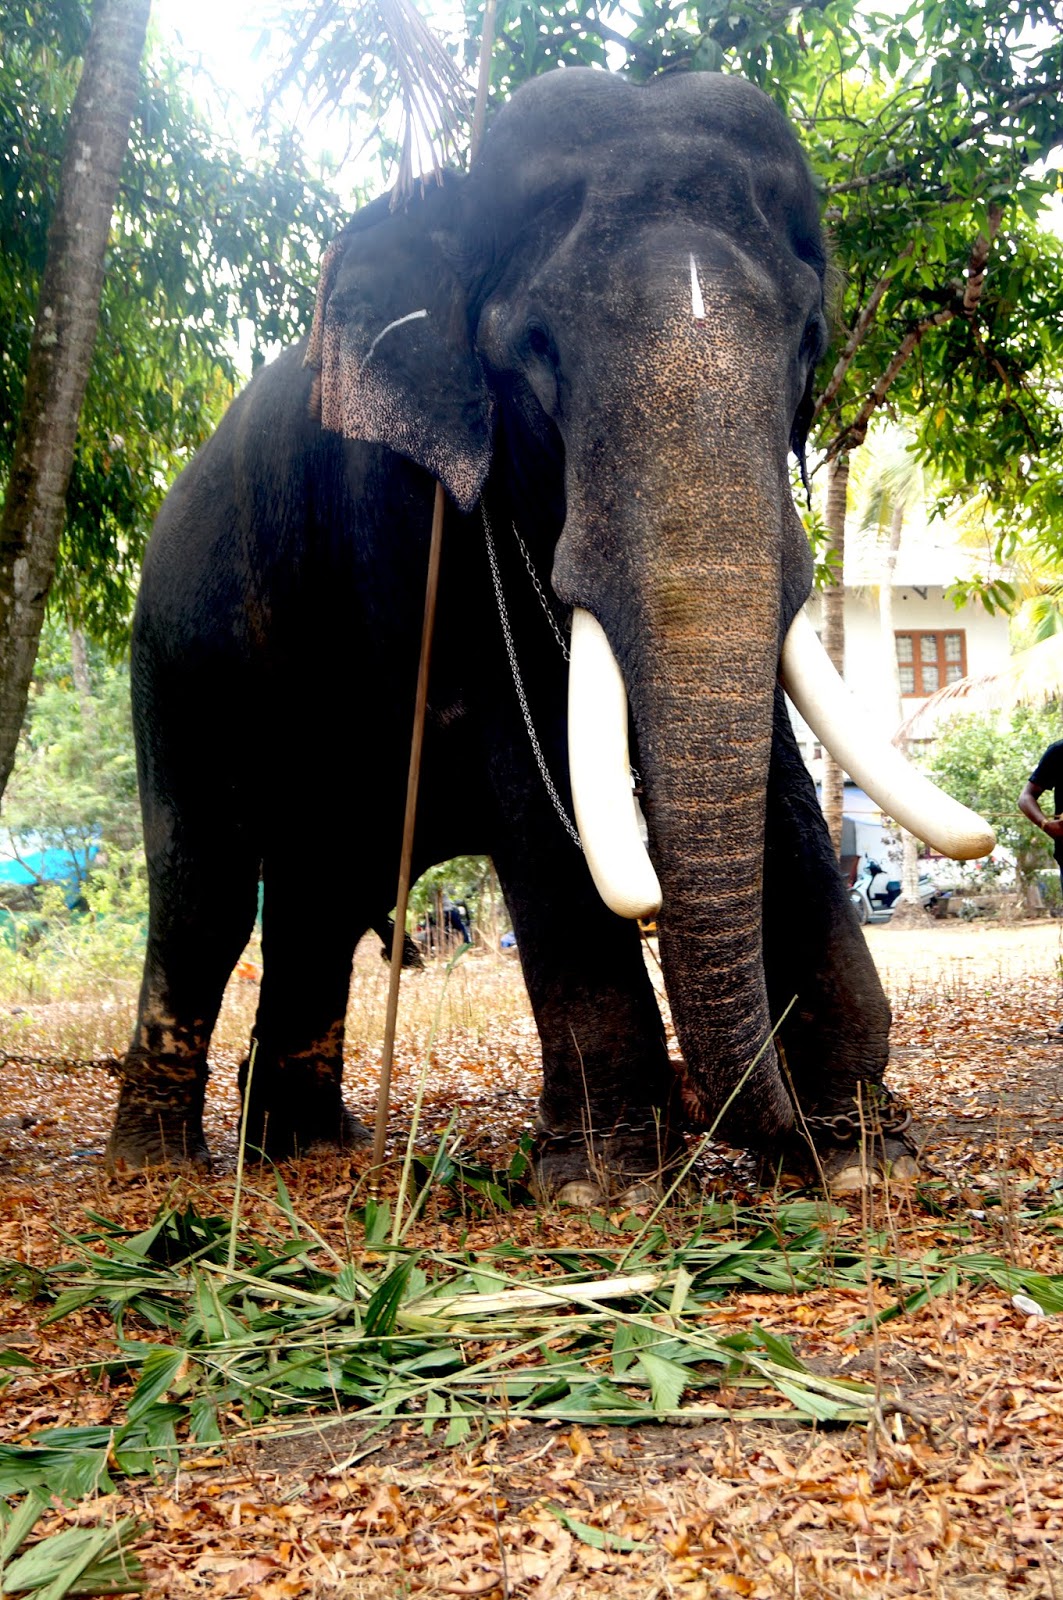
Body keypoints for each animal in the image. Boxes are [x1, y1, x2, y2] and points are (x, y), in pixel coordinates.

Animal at [107, 67, 993, 1201]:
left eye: (807, 344)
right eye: (533, 352)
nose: (770, 1138)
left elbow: (781, 778)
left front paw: (862, 1157)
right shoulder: (415, 525)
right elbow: (526, 768)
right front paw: (605, 1185)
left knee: (323, 890)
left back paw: (309, 1147)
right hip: (178, 647)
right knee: (206, 885)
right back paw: (159, 1169)